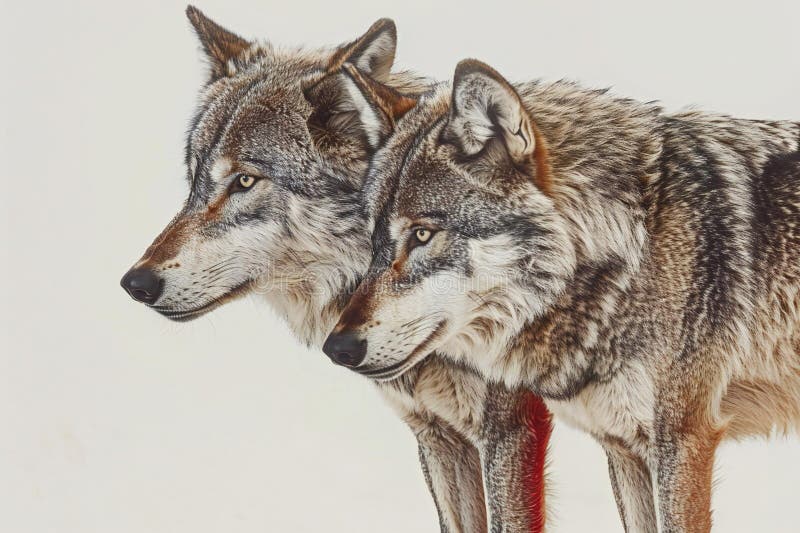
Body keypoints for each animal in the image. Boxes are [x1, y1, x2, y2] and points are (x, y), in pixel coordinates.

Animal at [324, 58, 800, 532]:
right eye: (374, 240)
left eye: (422, 234)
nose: (337, 348)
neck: (634, 251)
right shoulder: (622, 445)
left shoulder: (683, 442)